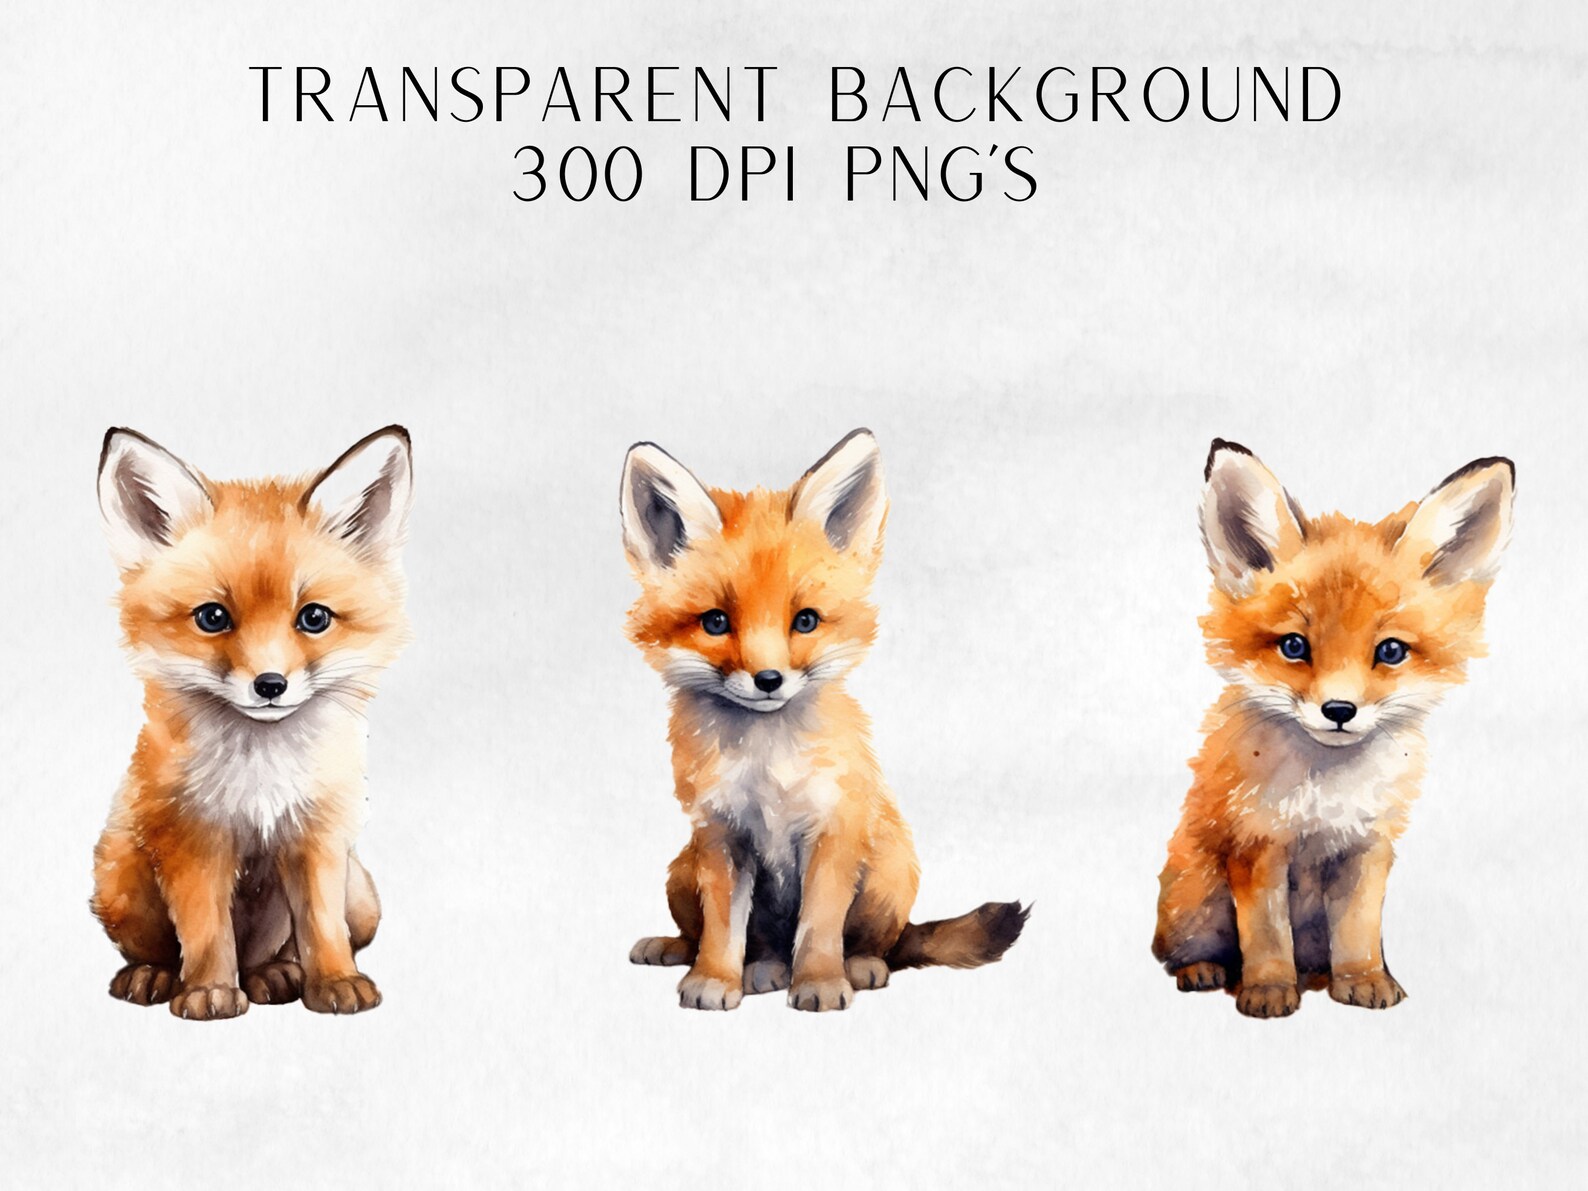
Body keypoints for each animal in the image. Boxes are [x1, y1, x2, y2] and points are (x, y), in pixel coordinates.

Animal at [90, 426, 414, 1020]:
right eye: (213, 617)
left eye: (314, 617)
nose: (270, 685)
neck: (261, 774)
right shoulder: (192, 837)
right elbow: (206, 931)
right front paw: (208, 991)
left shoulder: (318, 835)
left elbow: (321, 926)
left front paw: (335, 980)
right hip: (119, 877)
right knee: (161, 949)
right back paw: (156, 976)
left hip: (362, 894)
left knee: (282, 950)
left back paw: (275, 975)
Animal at [619, 429, 1026, 1012]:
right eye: (715, 622)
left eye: (805, 621)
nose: (768, 679)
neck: (766, 765)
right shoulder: (720, 835)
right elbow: (722, 929)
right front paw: (716, 979)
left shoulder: (832, 831)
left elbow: (819, 926)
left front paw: (819, 982)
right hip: (681, 869)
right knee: (740, 942)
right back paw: (731, 962)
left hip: (889, 870)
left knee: (888, 946)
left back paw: (856, 967)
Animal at [1152, 439, 1515, 1018]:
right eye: (1294, 645)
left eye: (1390, 651)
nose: (1339, 709)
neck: (1326, 792)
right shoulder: (1257, 844)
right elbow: (1267, 934)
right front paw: (1269, 988)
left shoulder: (1367, 846)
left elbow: (1360, 930)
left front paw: (1363, 979)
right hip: (1196, 902)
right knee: (1188, 950)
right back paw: (1205, 970)